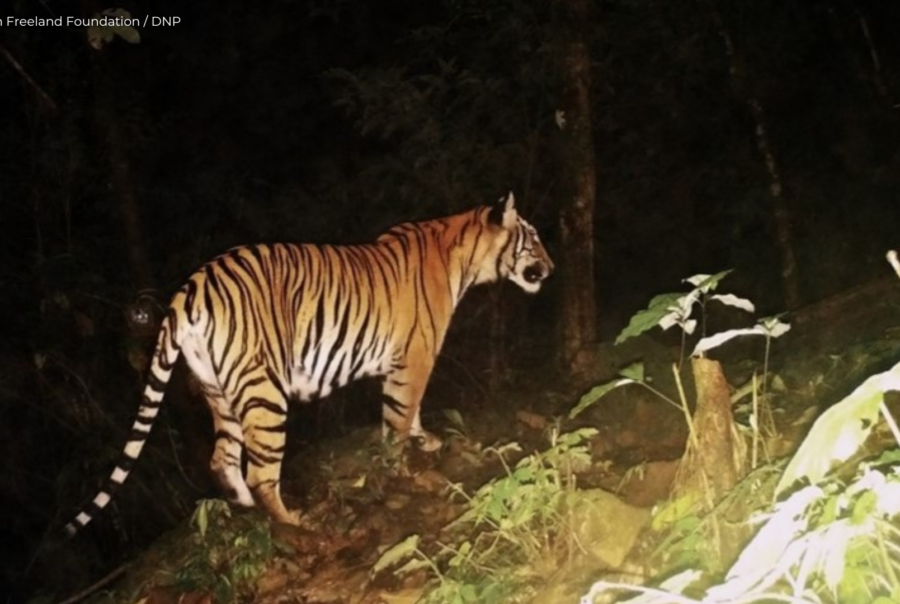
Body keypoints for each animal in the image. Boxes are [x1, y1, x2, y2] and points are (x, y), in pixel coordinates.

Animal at [64, 192, 553, 534]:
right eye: (533, 239)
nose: (550, 268)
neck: (464, 256)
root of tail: (192, 287)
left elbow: (405, 414)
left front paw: (423, 441)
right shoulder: (414, 357)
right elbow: (399, 416)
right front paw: (404, 468)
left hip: (219, 391)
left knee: (222, 460)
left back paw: (247, 509)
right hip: (264, 392)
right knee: (260, 471)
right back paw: (294, 523)